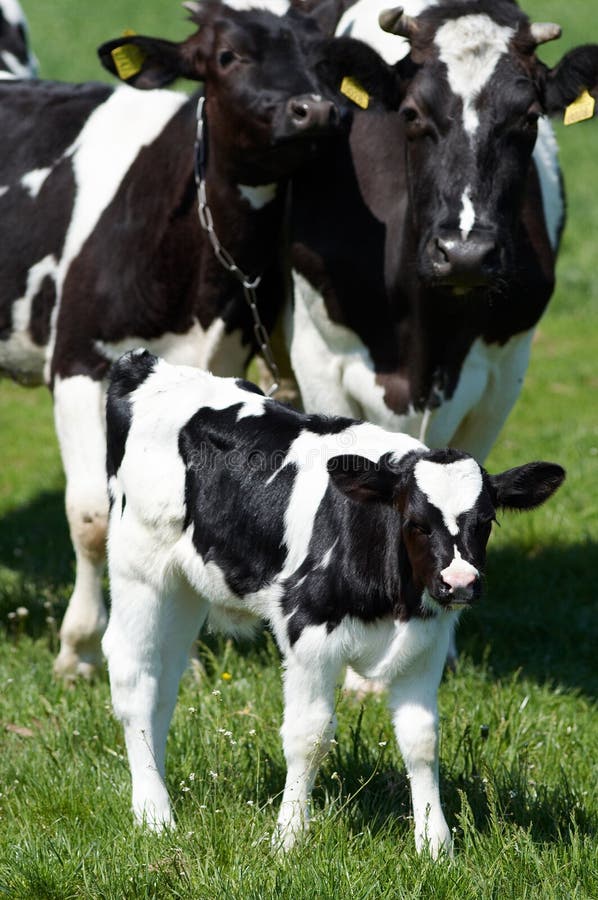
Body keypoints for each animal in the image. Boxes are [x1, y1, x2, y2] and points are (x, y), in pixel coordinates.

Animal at [0, 0, 397, 677]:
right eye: (227, 56)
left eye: (325, 59)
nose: (317, 110)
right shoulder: (79, 360)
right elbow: (92, 517)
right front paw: (78, 649)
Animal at [102, 348, 564, 857]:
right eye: (416, 522)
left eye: (485, 522)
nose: (459, 583)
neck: (394, 601)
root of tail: (146, 364)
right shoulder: (308, 633)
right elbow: (309, 737)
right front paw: (288, 838)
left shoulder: (426, 644)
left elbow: (422, 739)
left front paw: (435, 844)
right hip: (141, 569)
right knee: (135, 677)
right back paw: (154, 813)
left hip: (186, 586)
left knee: (165, 681)